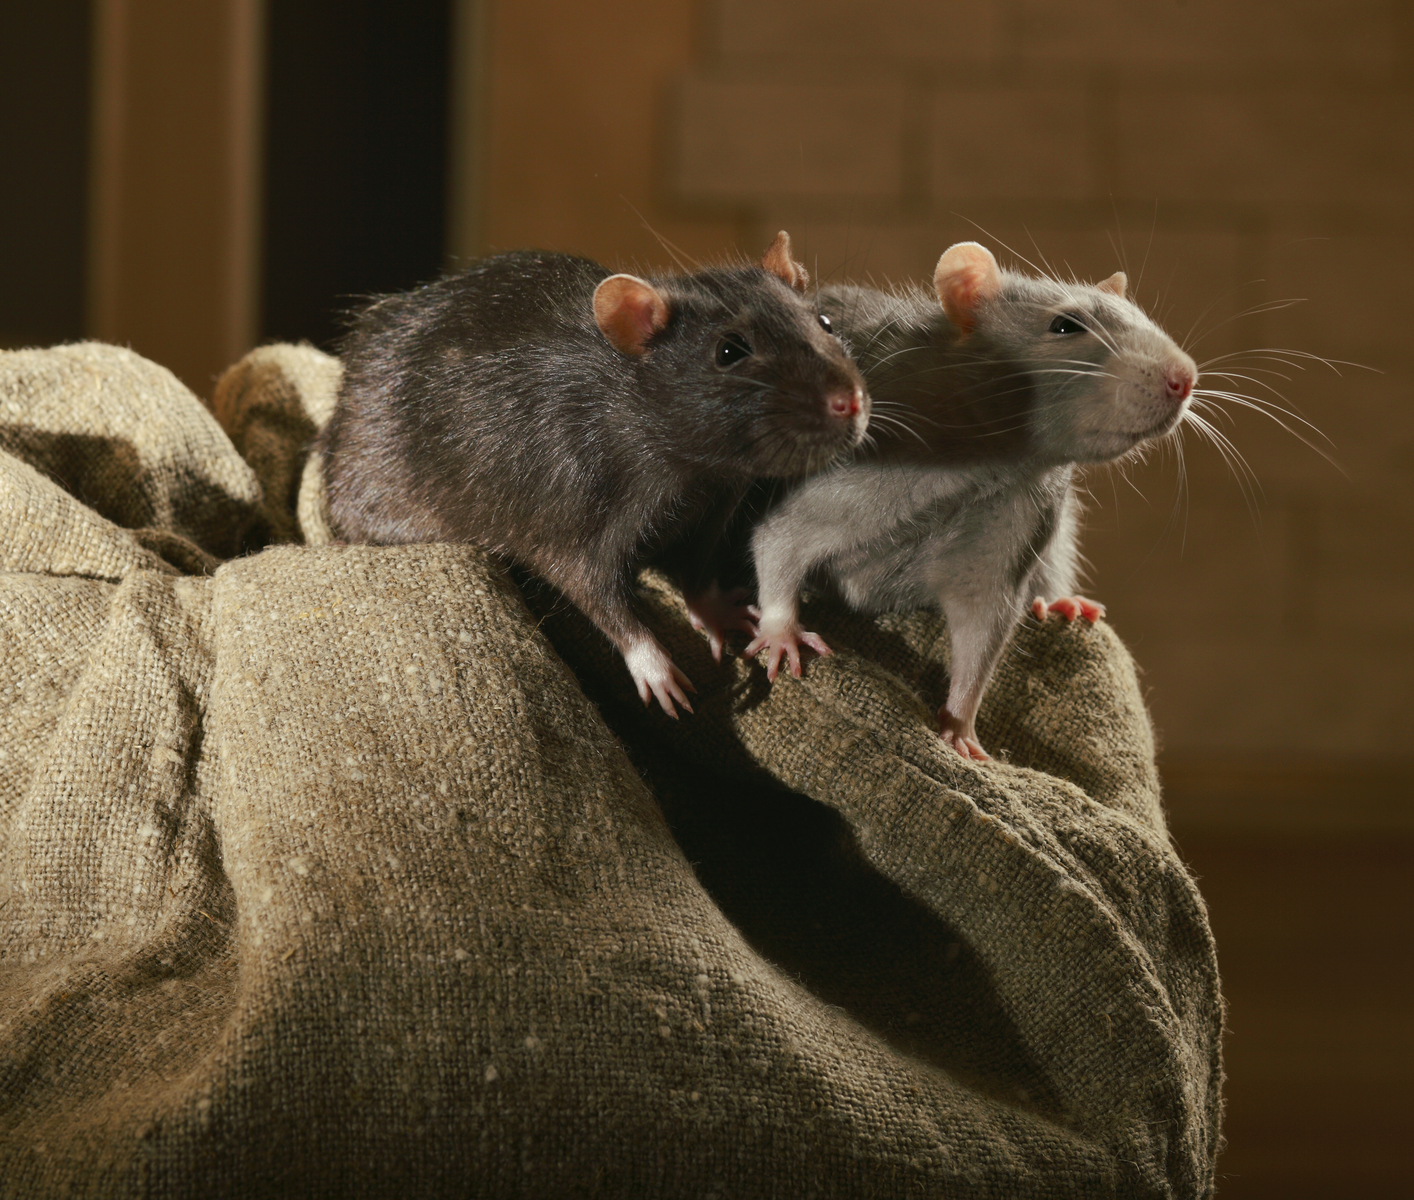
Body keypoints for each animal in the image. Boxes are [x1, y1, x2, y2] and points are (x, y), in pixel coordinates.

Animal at [320, 233, 869, 717]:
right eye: (730, 351)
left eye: (825, 323)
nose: (851, 402)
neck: (689, 473)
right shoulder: (572, 496)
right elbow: (587, 583)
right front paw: (652, 664)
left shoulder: (716, 500)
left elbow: (697, 562)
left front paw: (713, 607)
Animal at [744, 241, 1196, 760]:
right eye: (1066, 325)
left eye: (1140, 315)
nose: (1184, 377)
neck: (984, 471)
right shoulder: (851, 469)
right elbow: (781, 540)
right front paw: (781, 635)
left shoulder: (1018, 515)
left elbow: (985, 620)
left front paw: (960, 724)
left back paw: (1059, 600)